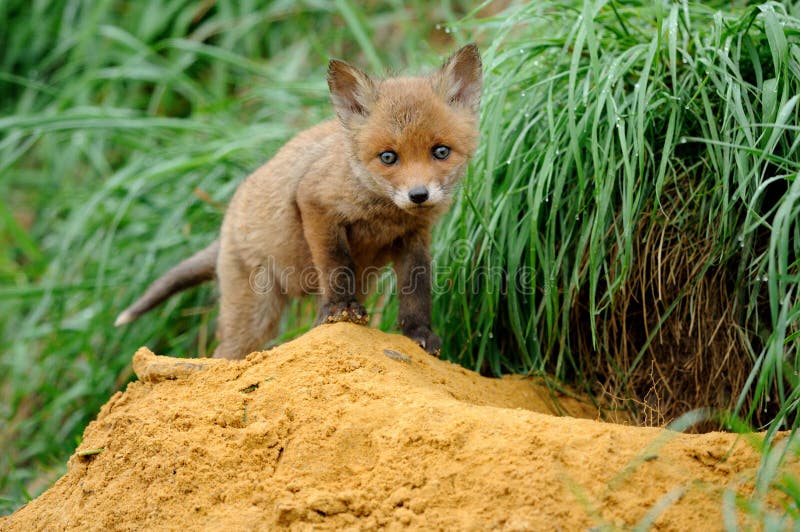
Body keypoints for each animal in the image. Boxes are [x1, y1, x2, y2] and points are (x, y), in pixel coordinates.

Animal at [115, 44, 482, 359]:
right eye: (388, 157)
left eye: (441, 152)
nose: (418, 195)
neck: (384, 213)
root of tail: (225, 228)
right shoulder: (315, 203)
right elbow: (335, 265)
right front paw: (341, 308)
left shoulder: (414, 237)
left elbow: (416, 291)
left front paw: (420, 334)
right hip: (256, 314)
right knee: (226, 353)